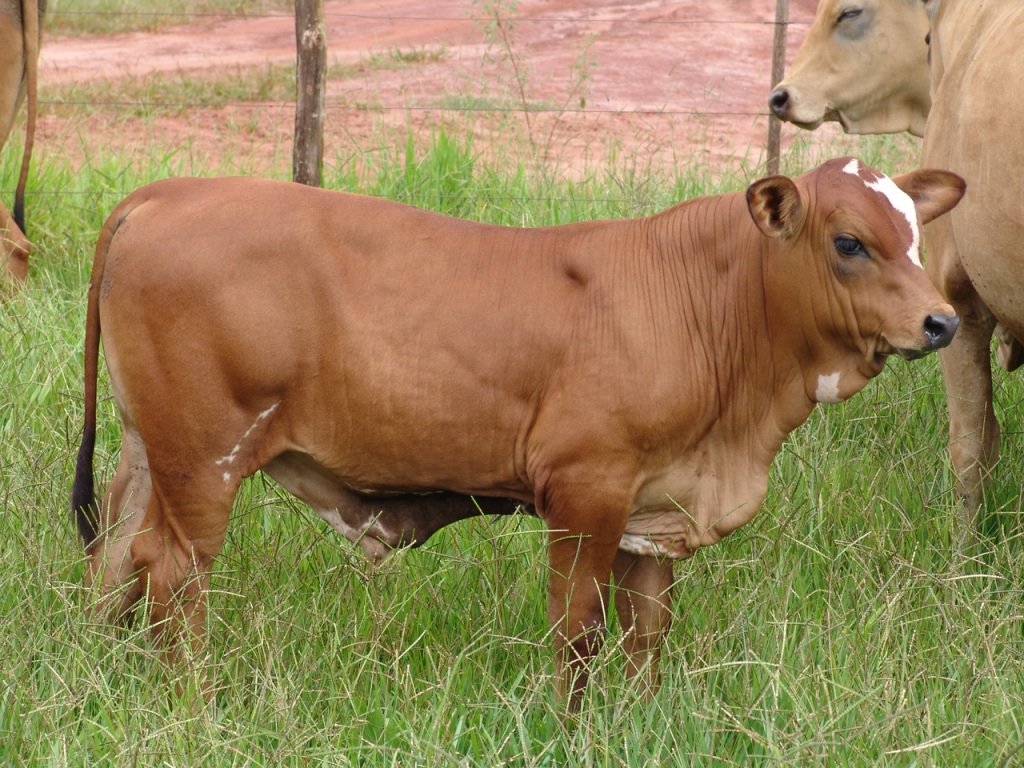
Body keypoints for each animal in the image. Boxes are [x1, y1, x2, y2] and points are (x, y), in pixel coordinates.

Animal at [72, 158, 964, 707]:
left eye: (917, 235)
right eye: (849, 241)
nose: (943, 321)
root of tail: (165, 192)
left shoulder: (655, 510)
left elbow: (646, 632)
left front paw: (641, 717)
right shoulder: (584, 490)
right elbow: (578, 632)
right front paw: (572, 726)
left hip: (149, 455)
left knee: (115, 558)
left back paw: (109, 676)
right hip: (204, 460)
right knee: (172, 574)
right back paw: (192, 703)